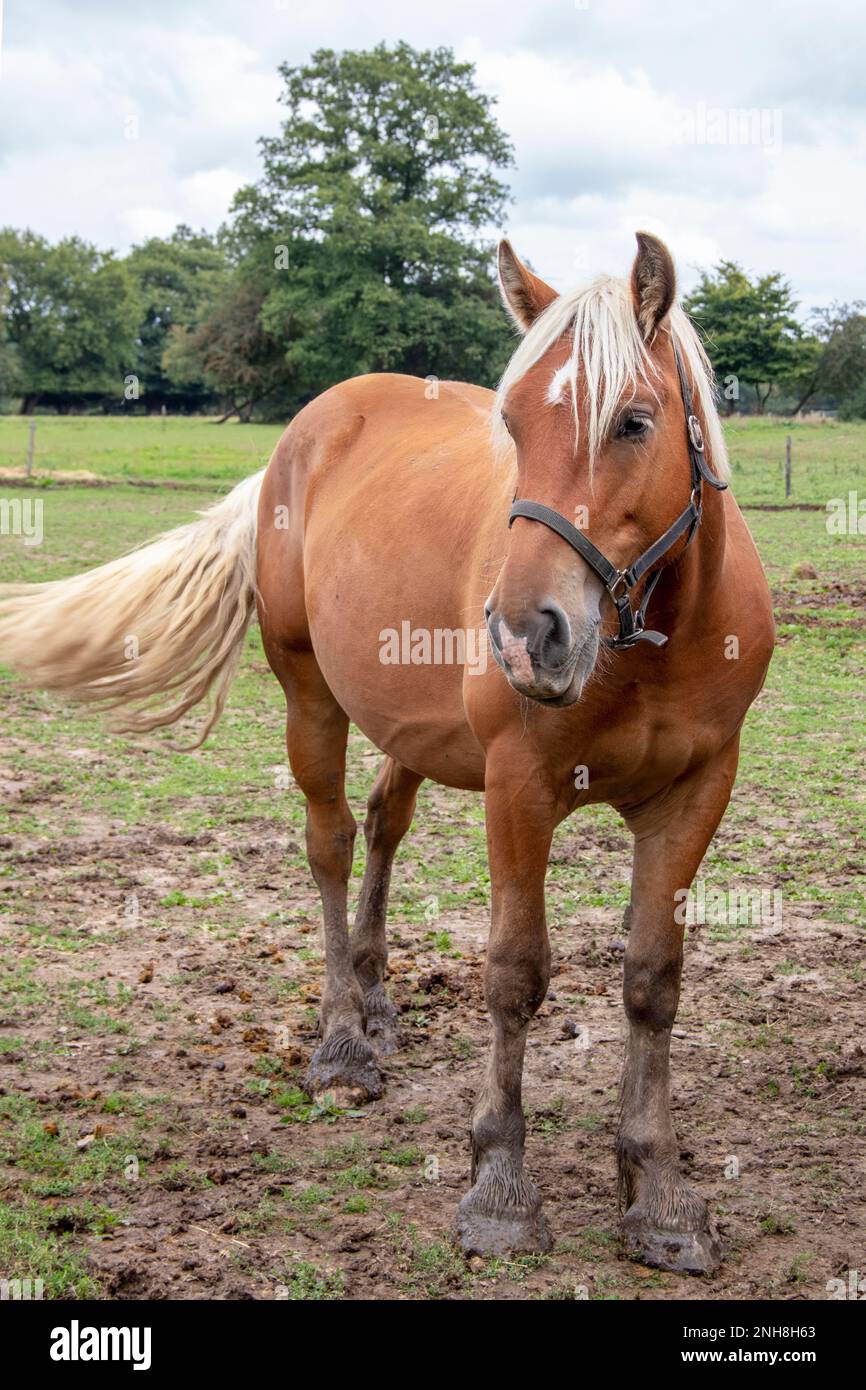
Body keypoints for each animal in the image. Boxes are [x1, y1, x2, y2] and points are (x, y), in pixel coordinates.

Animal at [0, 232, 774, 1274]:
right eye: (512, 426)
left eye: (634, 422)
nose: (526, 634)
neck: (651, 640)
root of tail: (304, 432)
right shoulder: (519, 789)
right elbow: (515, 976)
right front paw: (500, 1186)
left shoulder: (696, 793)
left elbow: (653, 983)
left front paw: (658, 1195)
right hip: (310, 696)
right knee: (330, 844)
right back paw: (342, 1041)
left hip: (411, 726)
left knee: (382, 822)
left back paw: (373, 999)